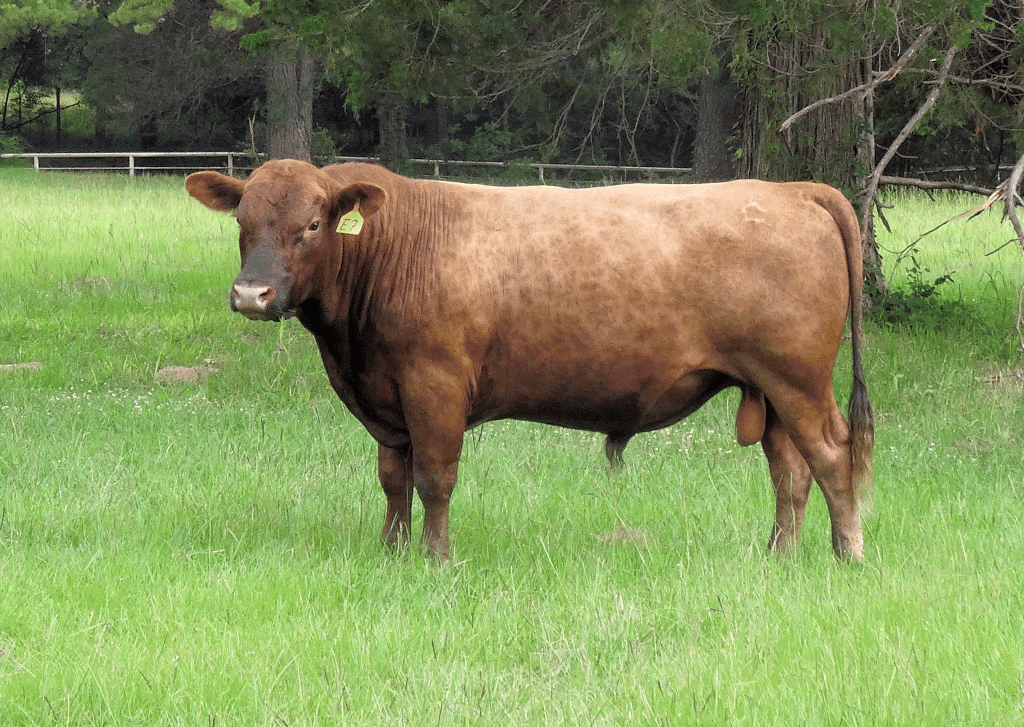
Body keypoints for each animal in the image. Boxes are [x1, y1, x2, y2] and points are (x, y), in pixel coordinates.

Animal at [185, 159, 874, 562]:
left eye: (312, 224)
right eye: (243, 220)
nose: (251, 294)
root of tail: (788, 189)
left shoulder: (434, 386)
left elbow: (434, 477)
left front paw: (436, 560)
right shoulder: (386, 399)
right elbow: (392, 477)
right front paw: (391, 551)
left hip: (799, 380)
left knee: (831, 456)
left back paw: (847, 553)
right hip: (771, 390)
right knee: (789, 470)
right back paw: (779, 555)